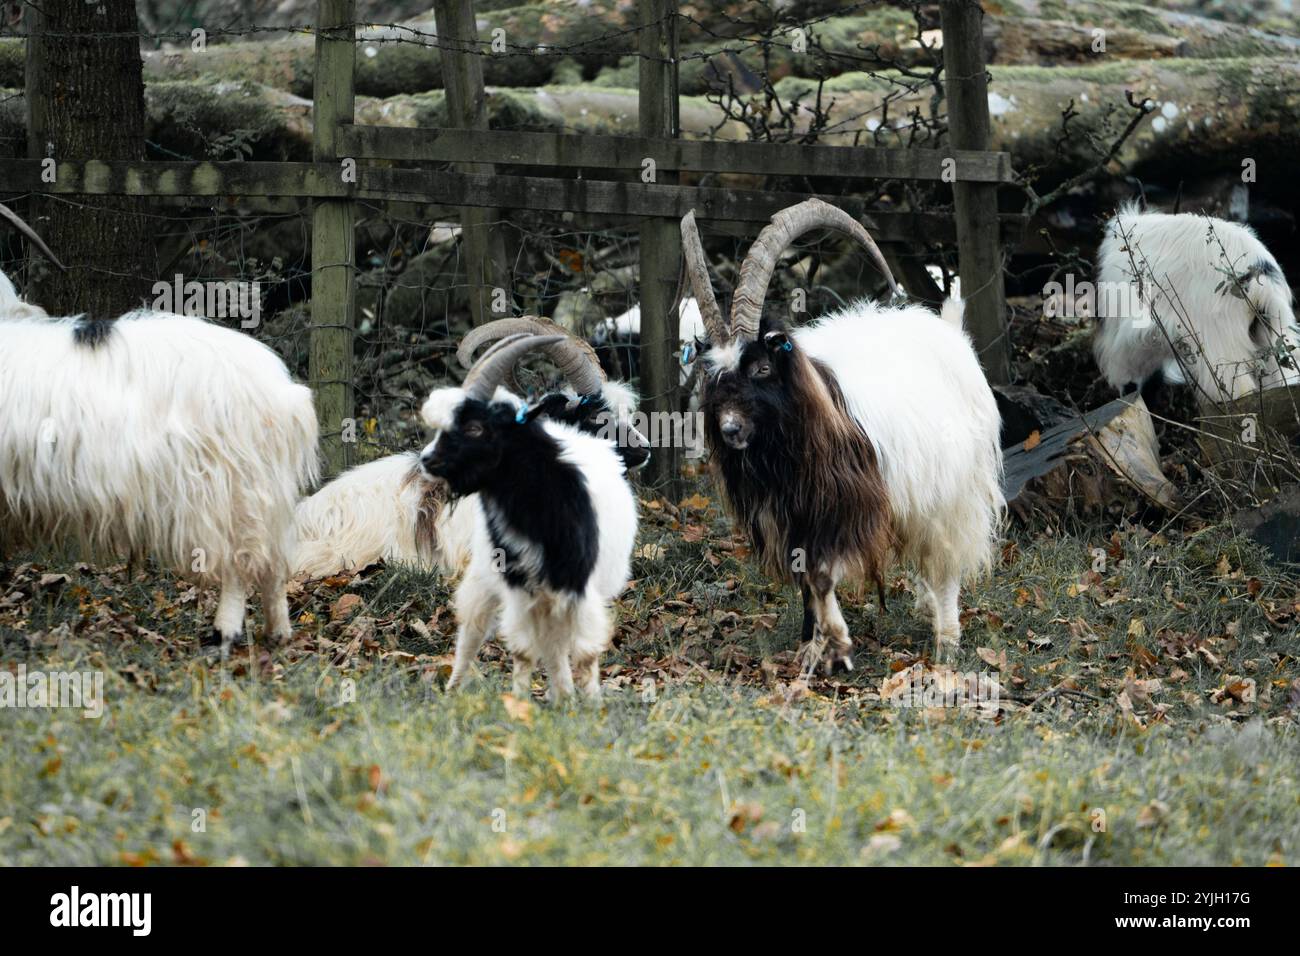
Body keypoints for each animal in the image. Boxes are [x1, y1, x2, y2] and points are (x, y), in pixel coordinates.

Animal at [0, 207, 318, 657]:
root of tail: (283, 390)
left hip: (220, 488)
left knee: (239, 563)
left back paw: (223, 635)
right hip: (255, 488)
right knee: (270, 560)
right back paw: (278, 632)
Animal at [420, 333, 638, 701]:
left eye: (475, 427)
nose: (426, 460)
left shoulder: (581, 587)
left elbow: (584, 653)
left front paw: (589, 703)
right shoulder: (518, 584)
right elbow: (523, 651)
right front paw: (520, 704)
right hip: (488, 575)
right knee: (474, 631)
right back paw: (454, 688)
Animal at [680, 199, 1004, 670]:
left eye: (762, 368)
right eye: (711, 374)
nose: (730, 428)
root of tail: (949, 331)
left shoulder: (844, 503)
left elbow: (822, 575)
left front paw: (834, 643)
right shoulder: (792, 517)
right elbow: (806, 580)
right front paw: (809, 646)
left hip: (952, 490)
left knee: (944, 561)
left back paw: (946, 640)